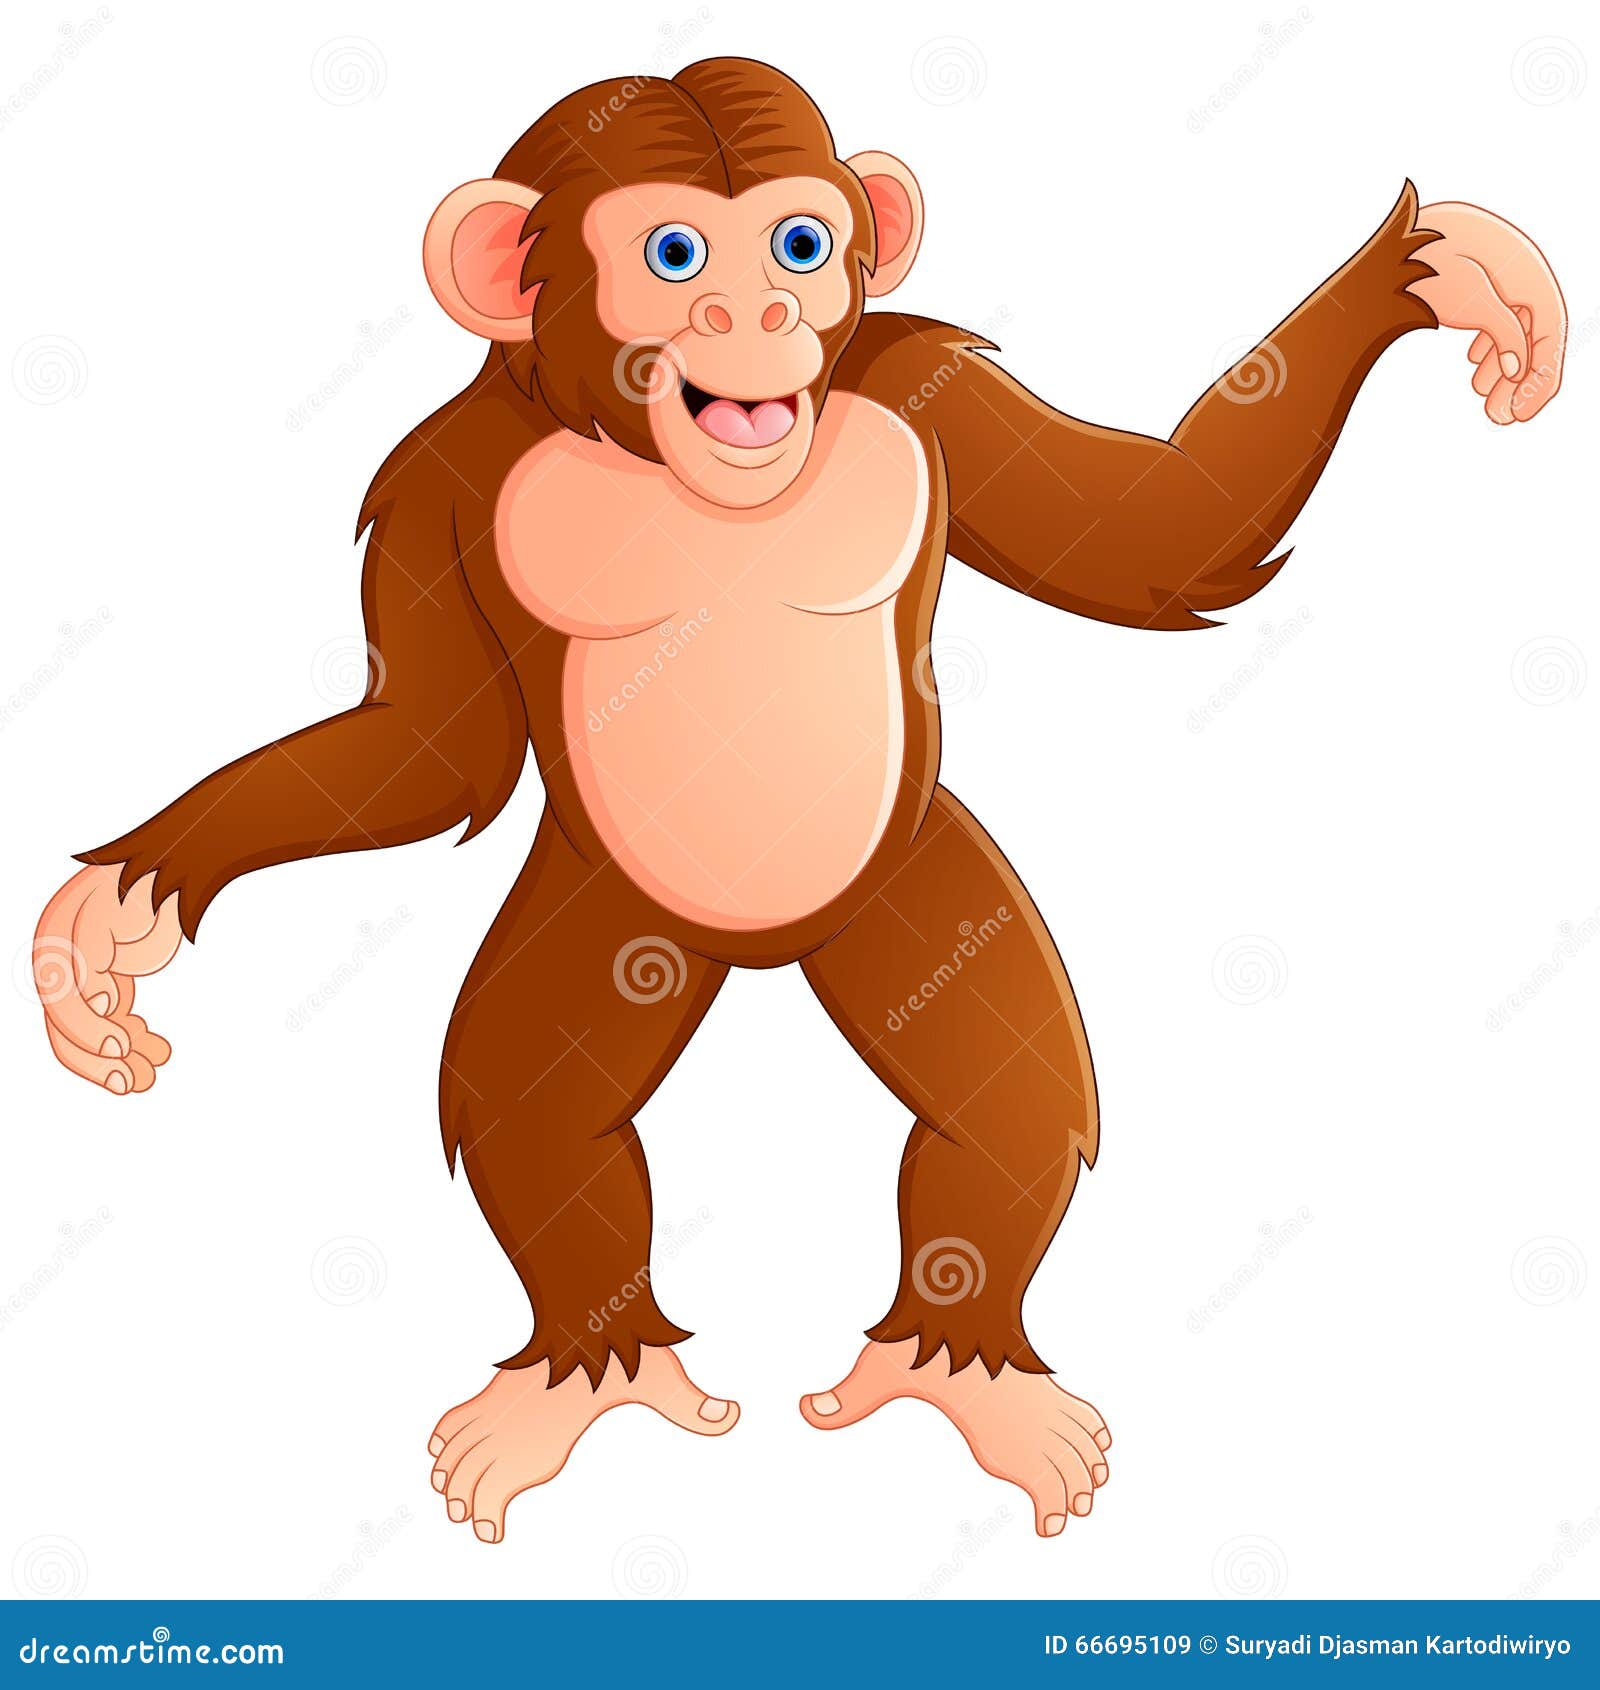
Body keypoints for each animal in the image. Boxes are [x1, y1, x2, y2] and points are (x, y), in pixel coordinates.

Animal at [33, 58, 1565, 1544]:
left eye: (801, 243)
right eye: (673, 252)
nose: (758, 307)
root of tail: (756, 953)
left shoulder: (932, 384)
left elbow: (1148, 521)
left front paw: (1433, 271)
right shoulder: (437, 484)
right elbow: (427, 748)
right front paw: (120, 912)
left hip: (909, 885)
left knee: (1005, 1092)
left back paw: (963, 1361)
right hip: (615, 918)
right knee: (536, 1111)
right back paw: (590, 1369)